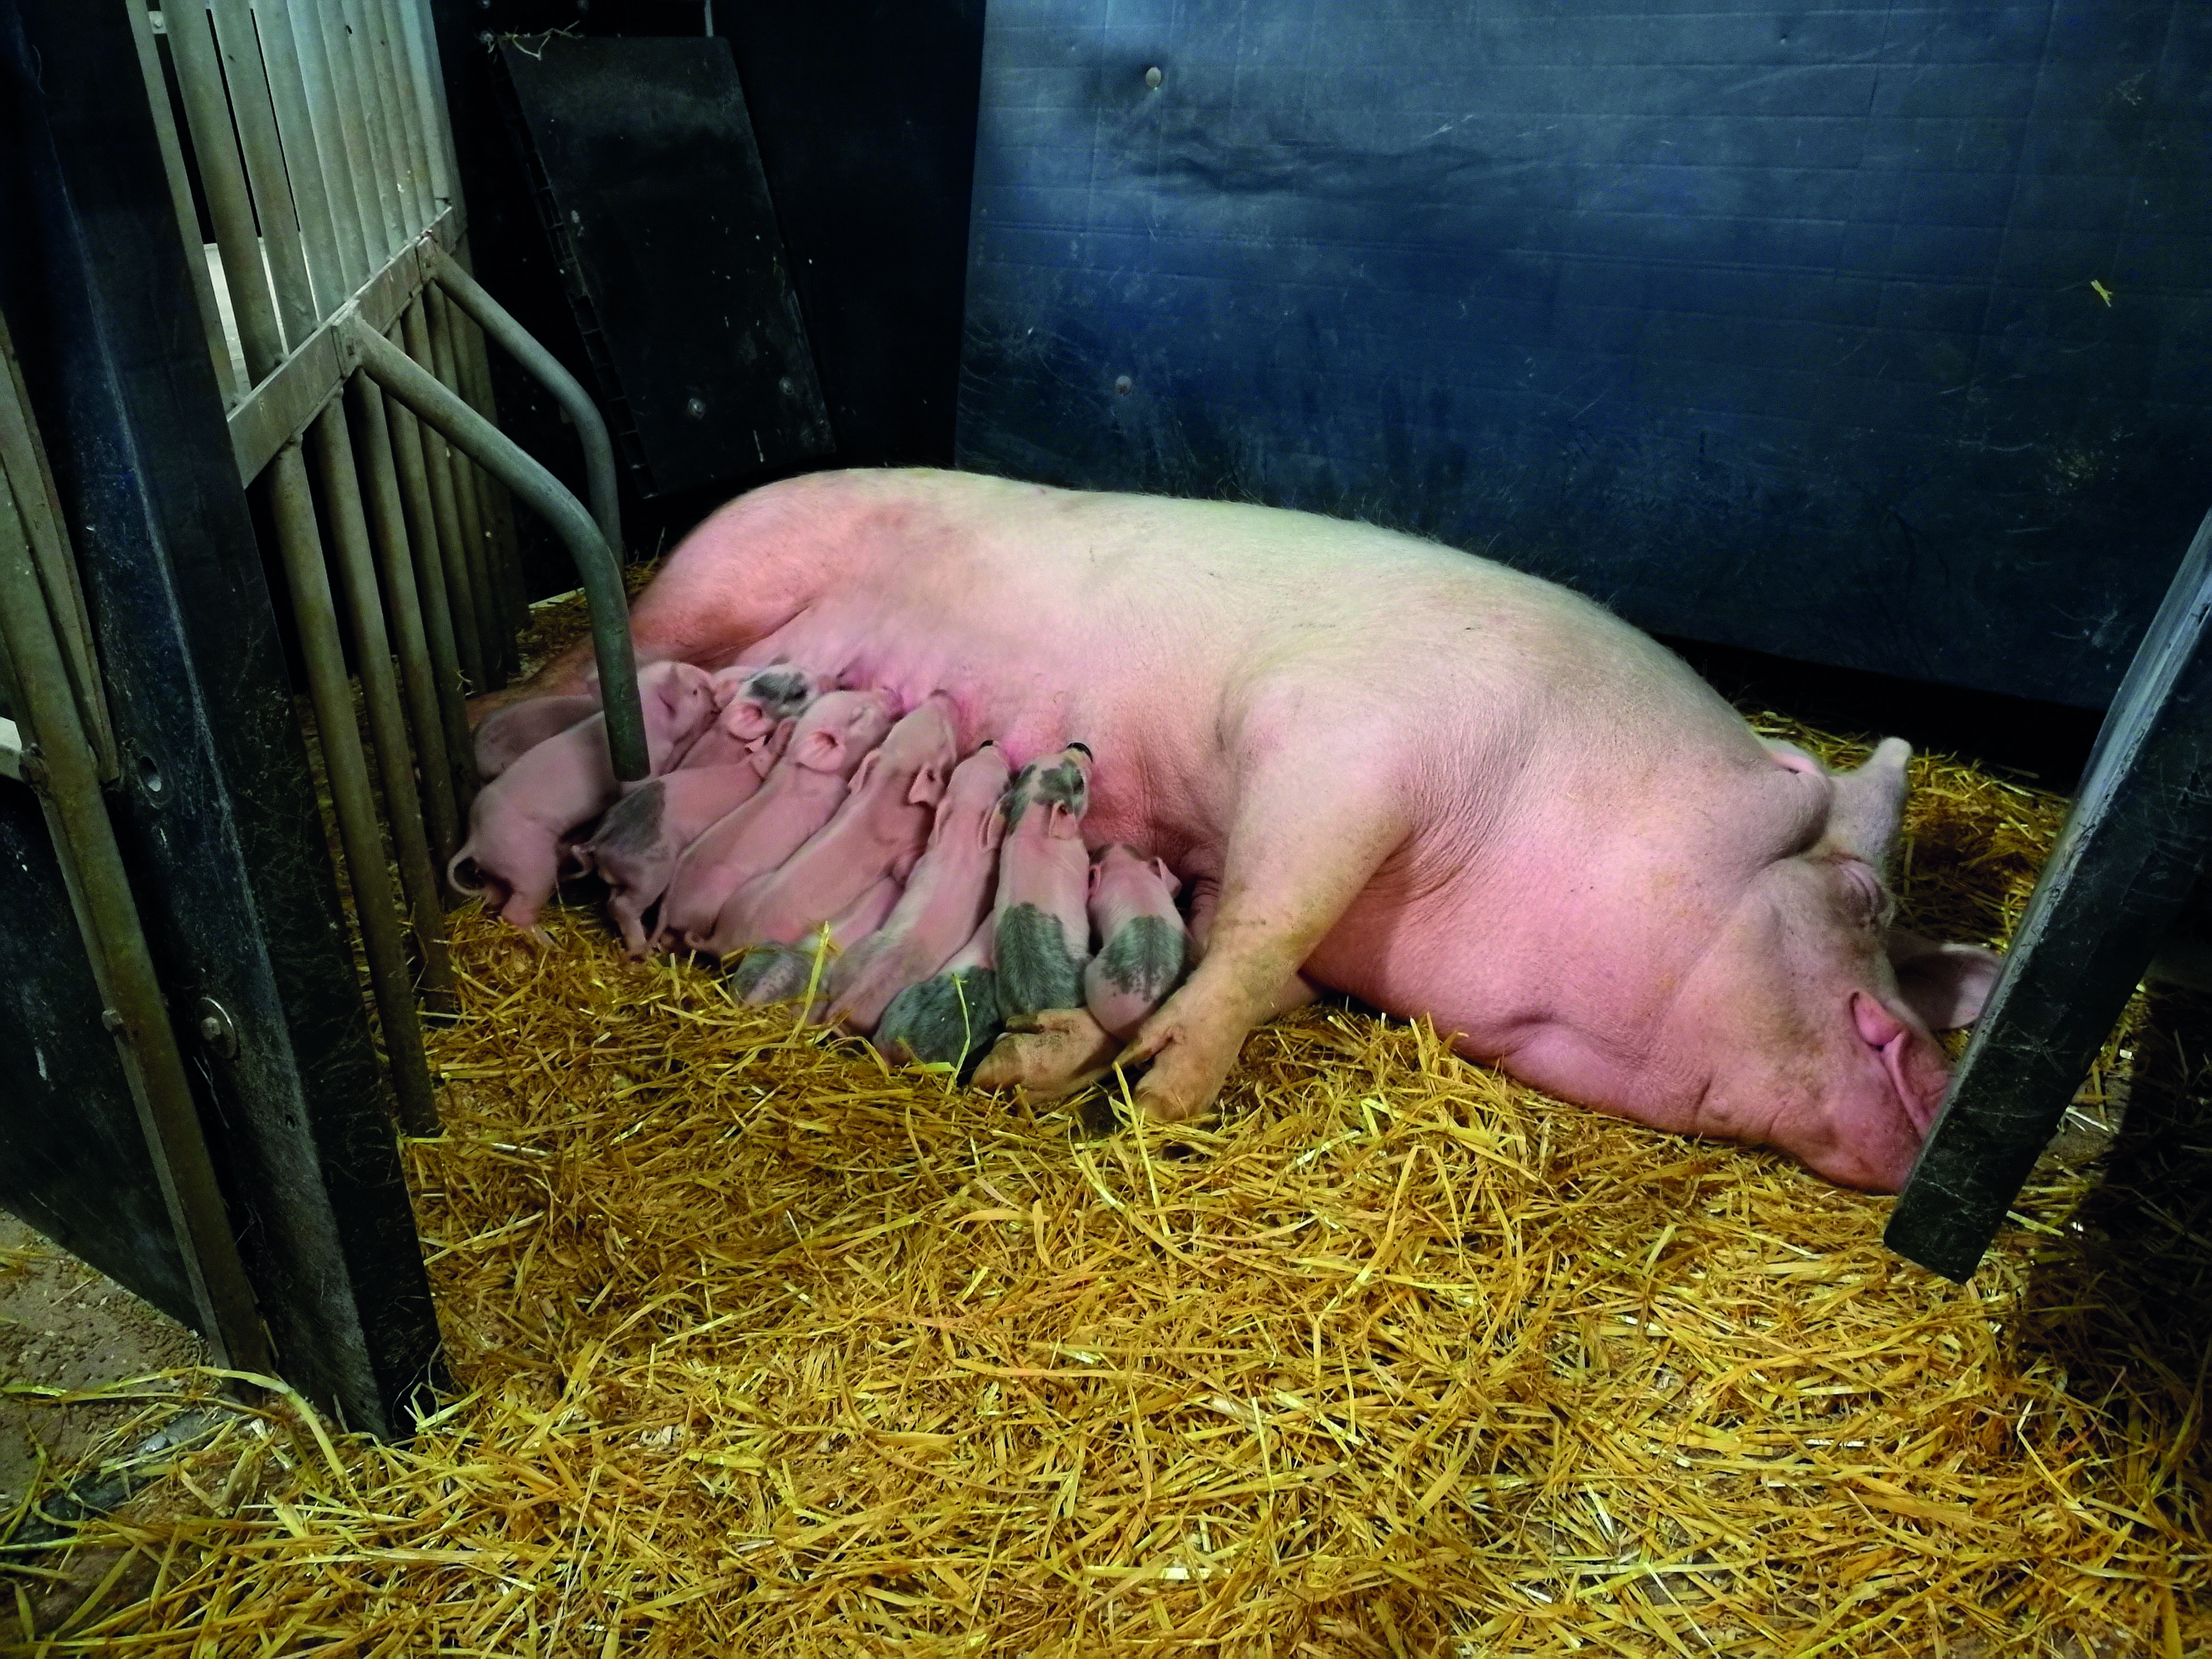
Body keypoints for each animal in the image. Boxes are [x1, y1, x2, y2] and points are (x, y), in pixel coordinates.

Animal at [450, 660, 718, 937]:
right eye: (695, 692)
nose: (715, 691)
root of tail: (474, 841)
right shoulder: (641, 769)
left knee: (496, 896)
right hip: (529, 863)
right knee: (515, 911)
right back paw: (549, 941)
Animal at [577, 724, 793, 959]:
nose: (789, 724)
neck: (750, 769)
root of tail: (601, 836)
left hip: (620, 876)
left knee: (612, 903)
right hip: (650, 875)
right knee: (624, 907)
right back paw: (644, 952)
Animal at [712, 694, 959, 954]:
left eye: (903, 723)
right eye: (945, 736)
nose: (942, 695)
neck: (893, 779)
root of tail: (721, 938)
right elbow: (903, 868)